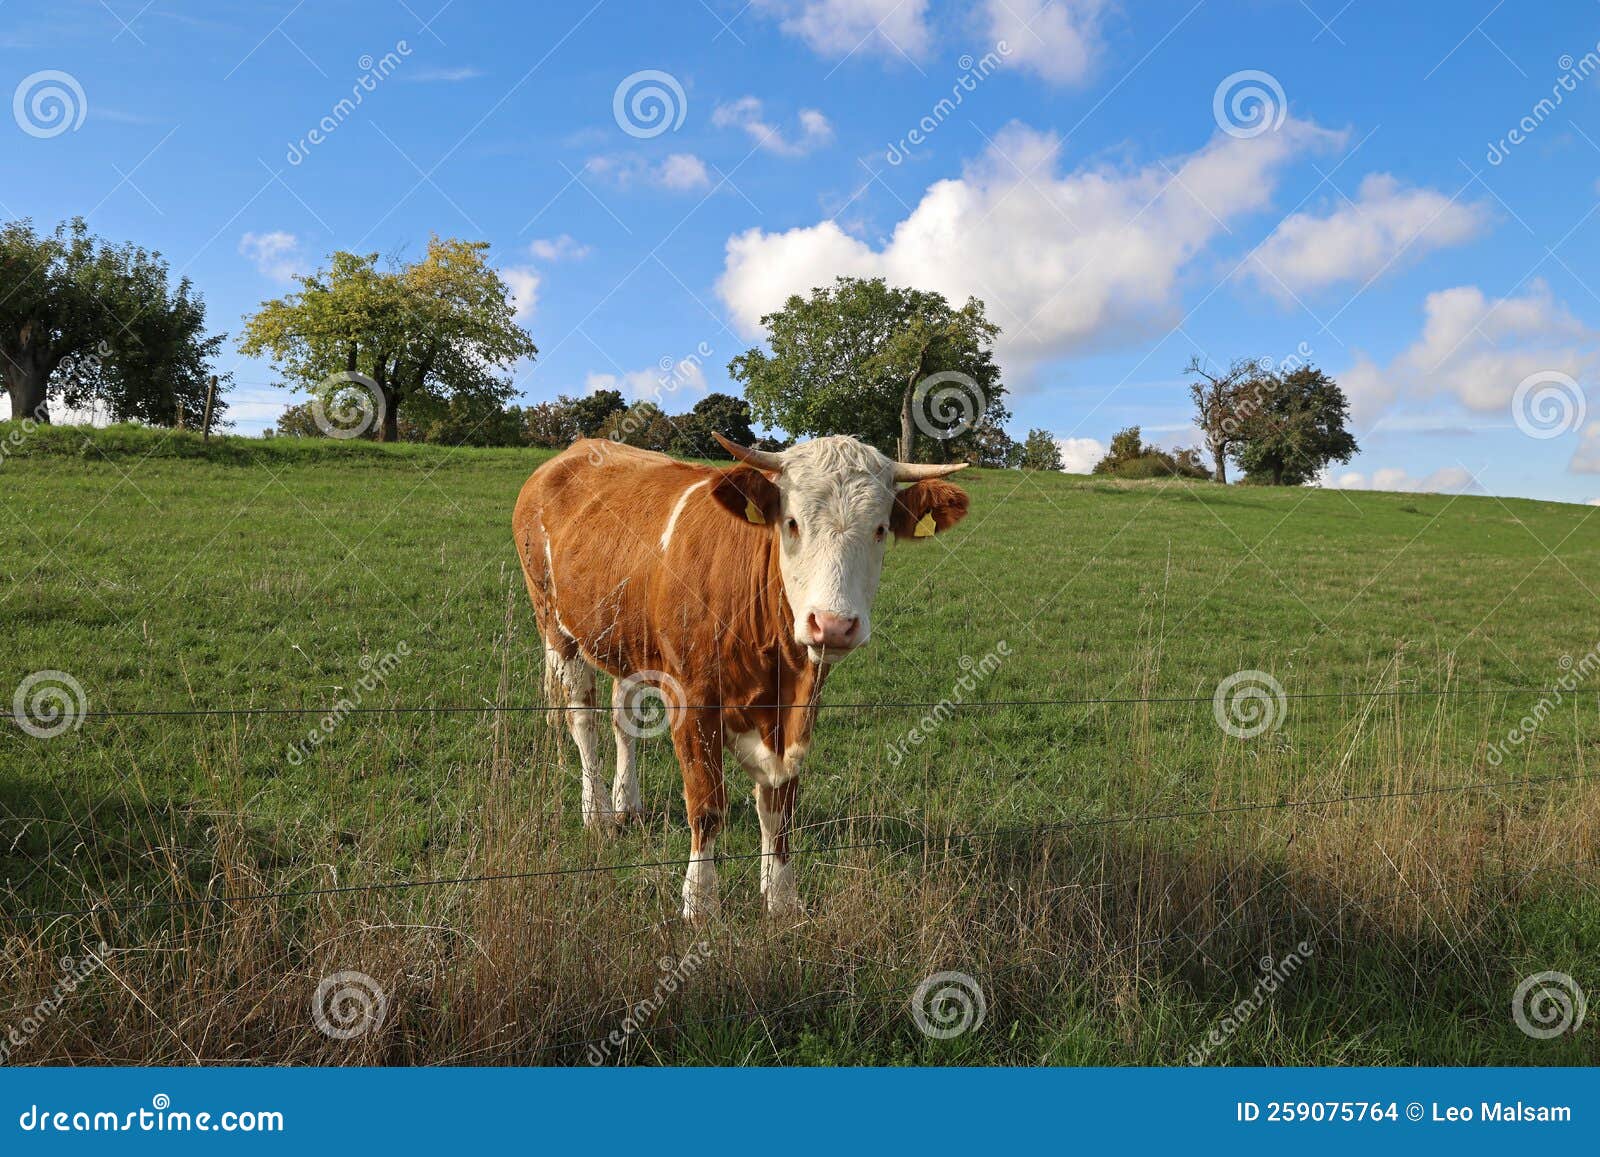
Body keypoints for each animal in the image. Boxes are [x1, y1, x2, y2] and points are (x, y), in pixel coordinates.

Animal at [512, 433, 969, 919]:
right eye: (791, 522)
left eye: (880, 529)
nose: (832, 625)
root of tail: (579, 448)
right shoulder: (693, 700)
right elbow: (707, 805)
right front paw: (700, 901)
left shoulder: (797, 710)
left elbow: (779, 807)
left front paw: (782, 896)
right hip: (555, 625)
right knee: (584, 721)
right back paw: (595, 813)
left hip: (629, 640)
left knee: (623, 720)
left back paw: (626, 806)